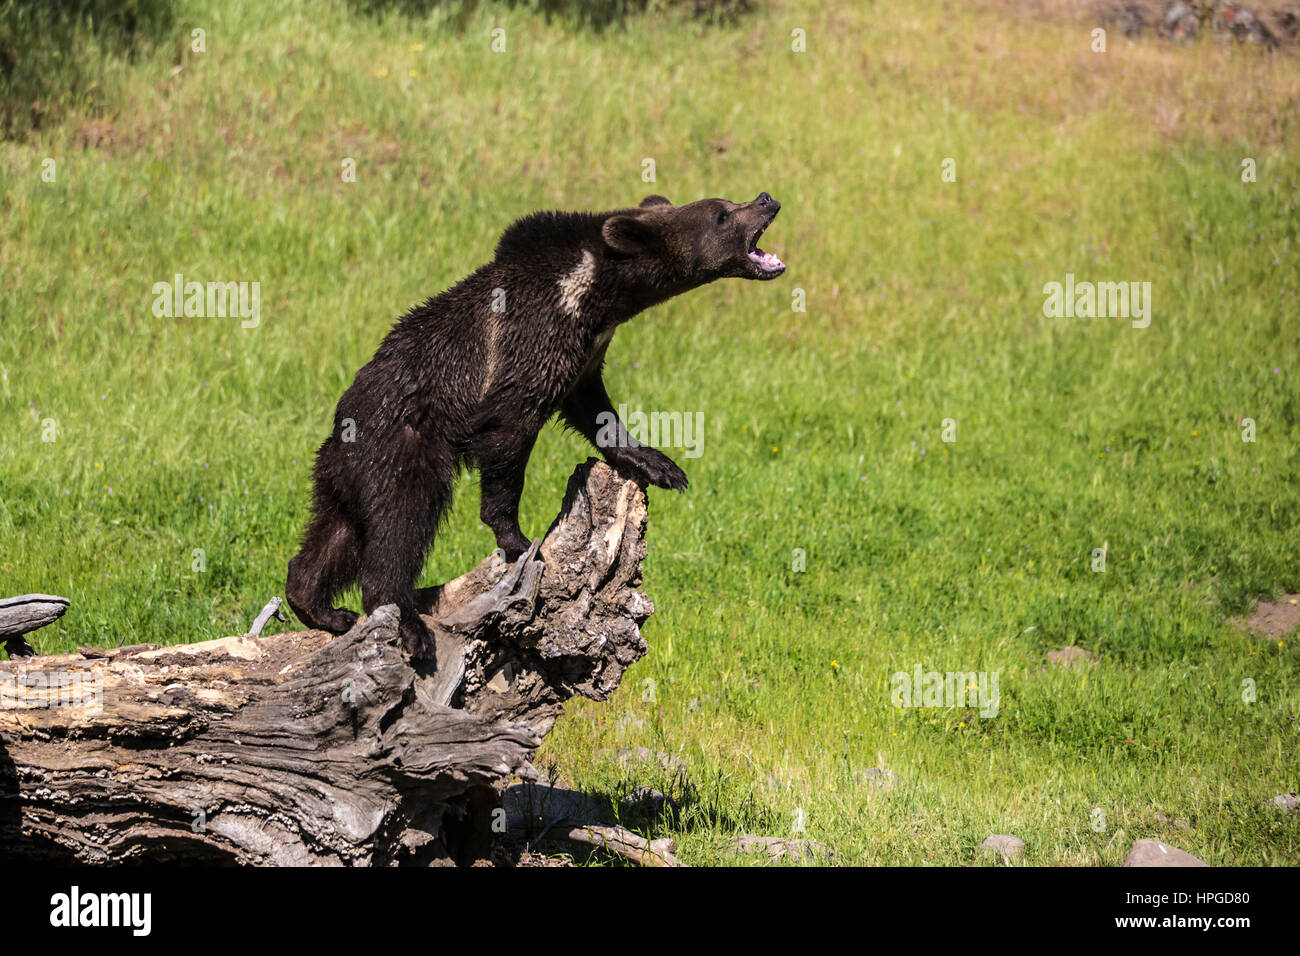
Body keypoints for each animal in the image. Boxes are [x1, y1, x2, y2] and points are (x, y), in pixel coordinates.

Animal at [285, 192, 785, 656]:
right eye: (722, 213)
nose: (766, 199)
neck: (597, 297)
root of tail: (342, 431)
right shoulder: (526, 353)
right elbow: (508, 442)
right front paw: (519, 540)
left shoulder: (584, 353)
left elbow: (595, 409)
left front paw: (660, 464)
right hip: (403, 445)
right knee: (399, 524)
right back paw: (407, 625)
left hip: (343, 474)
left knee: (336, 534)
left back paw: (323, 607)